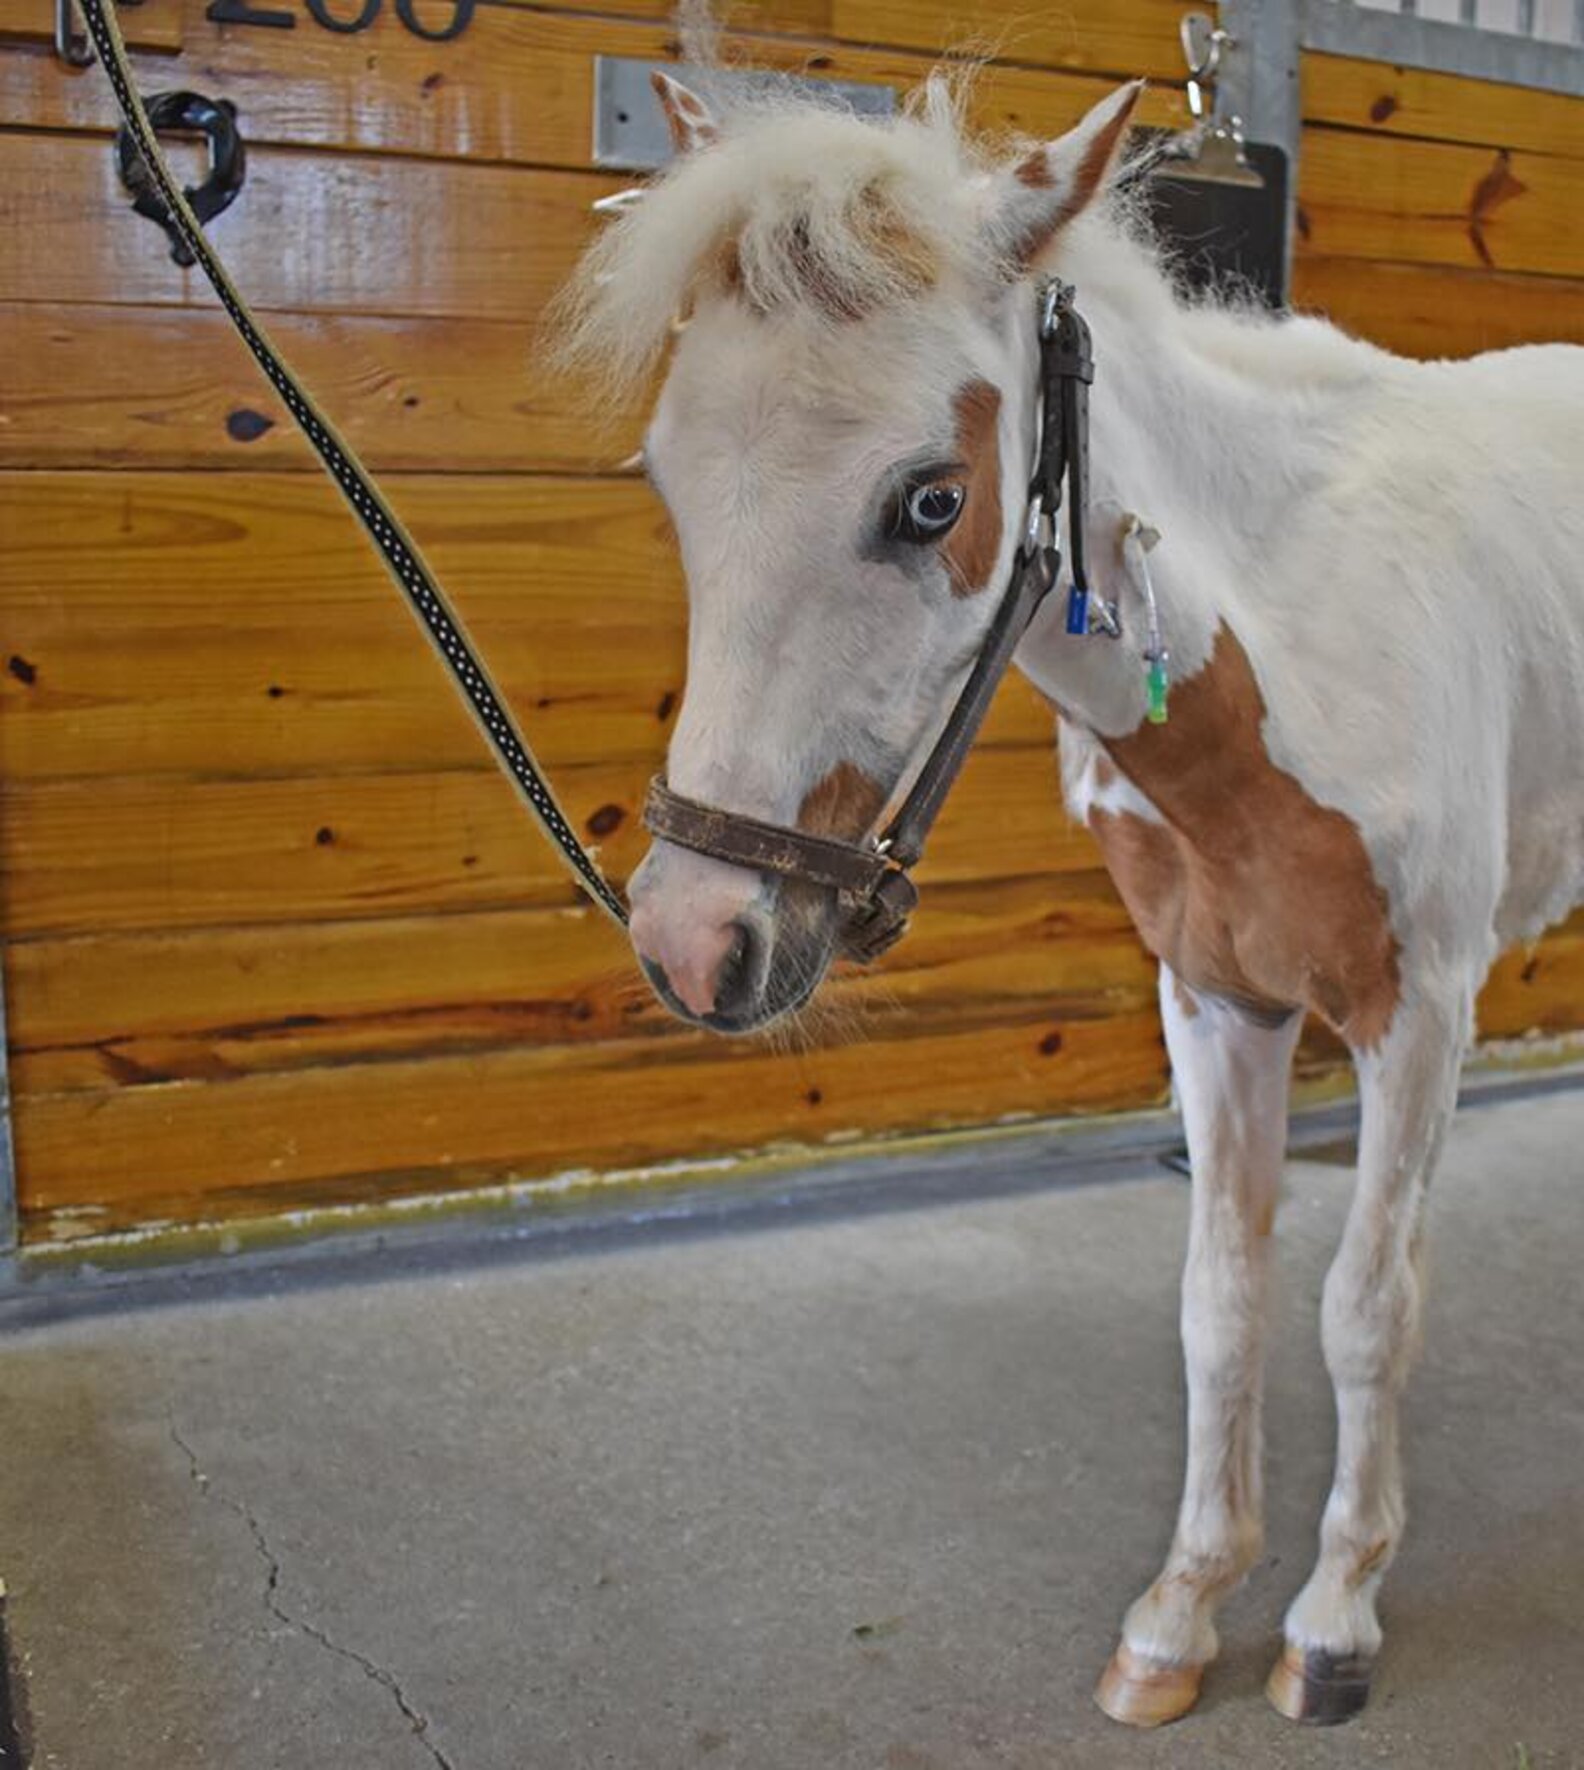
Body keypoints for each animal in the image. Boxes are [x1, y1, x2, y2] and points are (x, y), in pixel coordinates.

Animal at [555, 63, 1584, 1728]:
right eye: (667, 475)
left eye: (931, 501)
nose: (694, 941)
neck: (1303, 626)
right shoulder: (1218, 999)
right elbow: (1221, 1302)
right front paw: (1179, 1616)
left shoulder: (1419, 1013)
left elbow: (1366, 1310)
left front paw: (1334, 1621)